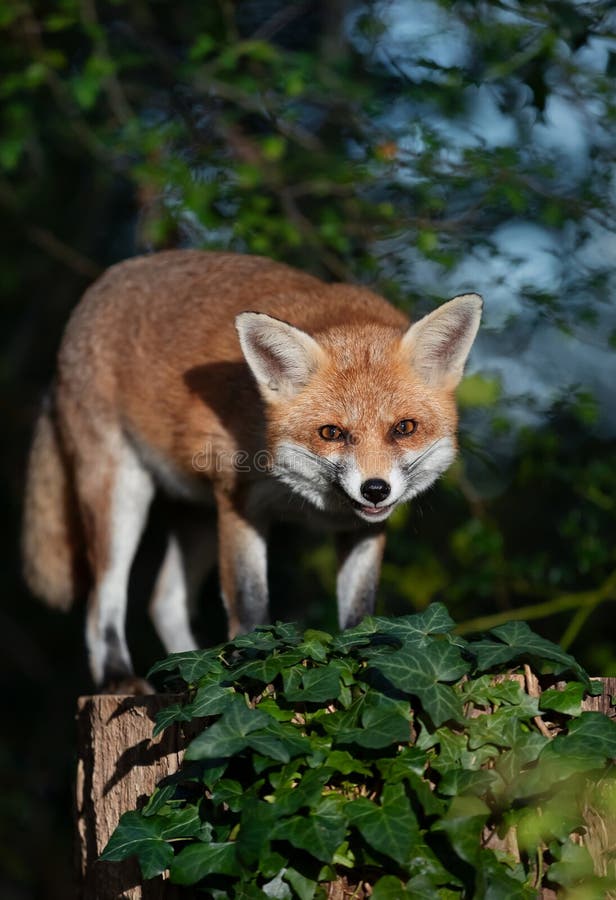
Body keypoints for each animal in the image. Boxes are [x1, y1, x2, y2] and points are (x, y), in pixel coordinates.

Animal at [22, 250, 482, 691]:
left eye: (404, 428)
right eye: (331, 433)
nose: (375, 490)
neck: (306, 501)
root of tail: (100, 285)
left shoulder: (362, 528)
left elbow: (360, 613)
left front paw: (367, 666)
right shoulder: (239, 504)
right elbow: (249, 605)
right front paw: (255, 668)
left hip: (197, 518)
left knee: (163, 601)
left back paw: (189, 672)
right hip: (121, 496)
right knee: (102, 600)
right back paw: (119, 676)